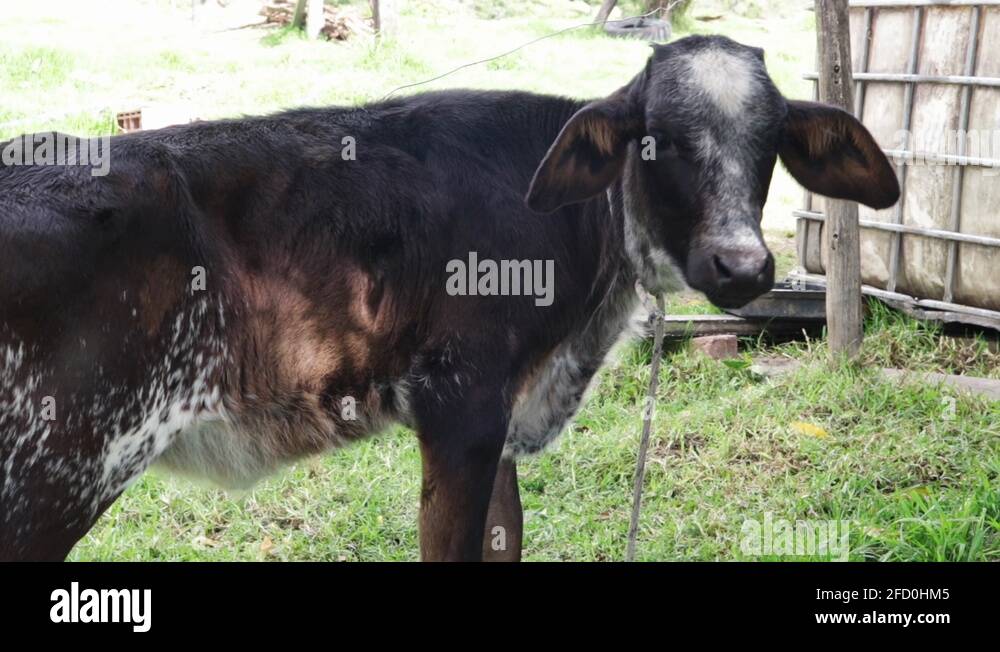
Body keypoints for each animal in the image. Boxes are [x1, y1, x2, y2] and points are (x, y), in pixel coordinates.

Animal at [0, 35, 899, 561]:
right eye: (658, 140)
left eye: (771, 141)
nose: (742, 266)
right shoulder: (458, 405)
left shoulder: (498, 423)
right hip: (53, 476)